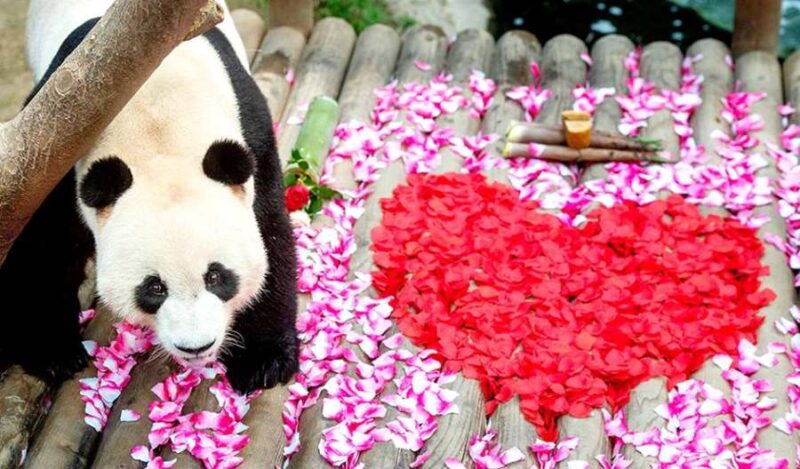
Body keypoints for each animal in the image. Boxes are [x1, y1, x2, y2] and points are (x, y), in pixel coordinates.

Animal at [0, 0, 299, 394]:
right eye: (154, 288)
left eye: (216, 276)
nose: (196, 346)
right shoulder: (60, 149)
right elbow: (45, 247)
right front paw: (52, 353)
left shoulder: (250, 134)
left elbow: (268, 229)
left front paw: (264, 360)